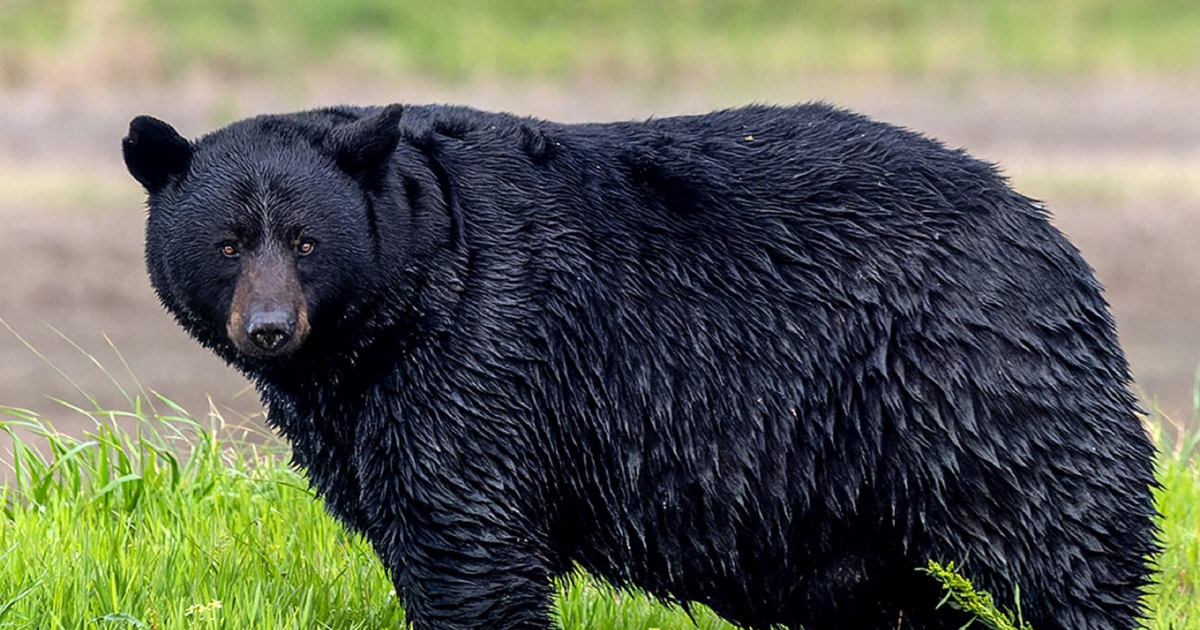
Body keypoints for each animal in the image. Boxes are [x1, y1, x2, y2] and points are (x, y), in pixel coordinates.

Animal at [122, 103, 1158, 630]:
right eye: (225, 244)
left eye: (304, 242)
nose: (268, 328)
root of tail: (1044, 226)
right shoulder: (362, 412)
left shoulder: (482, 352)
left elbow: (469, 543)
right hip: (832, 487)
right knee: (881, 595)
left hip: (971, 384)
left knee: (1060, 541)